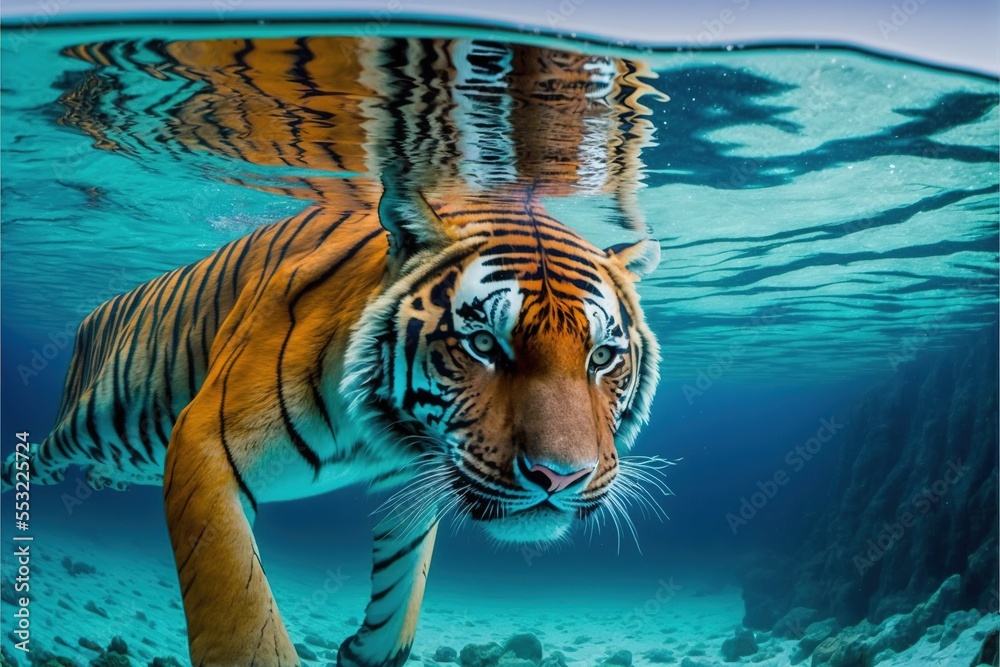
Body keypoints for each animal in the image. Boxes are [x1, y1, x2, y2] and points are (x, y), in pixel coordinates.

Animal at [1, 179, 661, 667]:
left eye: (602, 356)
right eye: (482, 345)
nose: (562, 478)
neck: (385, 435)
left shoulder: (412, 476)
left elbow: (405, 584)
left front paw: (365, 651)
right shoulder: (204, 442)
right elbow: (240, 613)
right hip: (96, 423)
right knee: (44, 451)